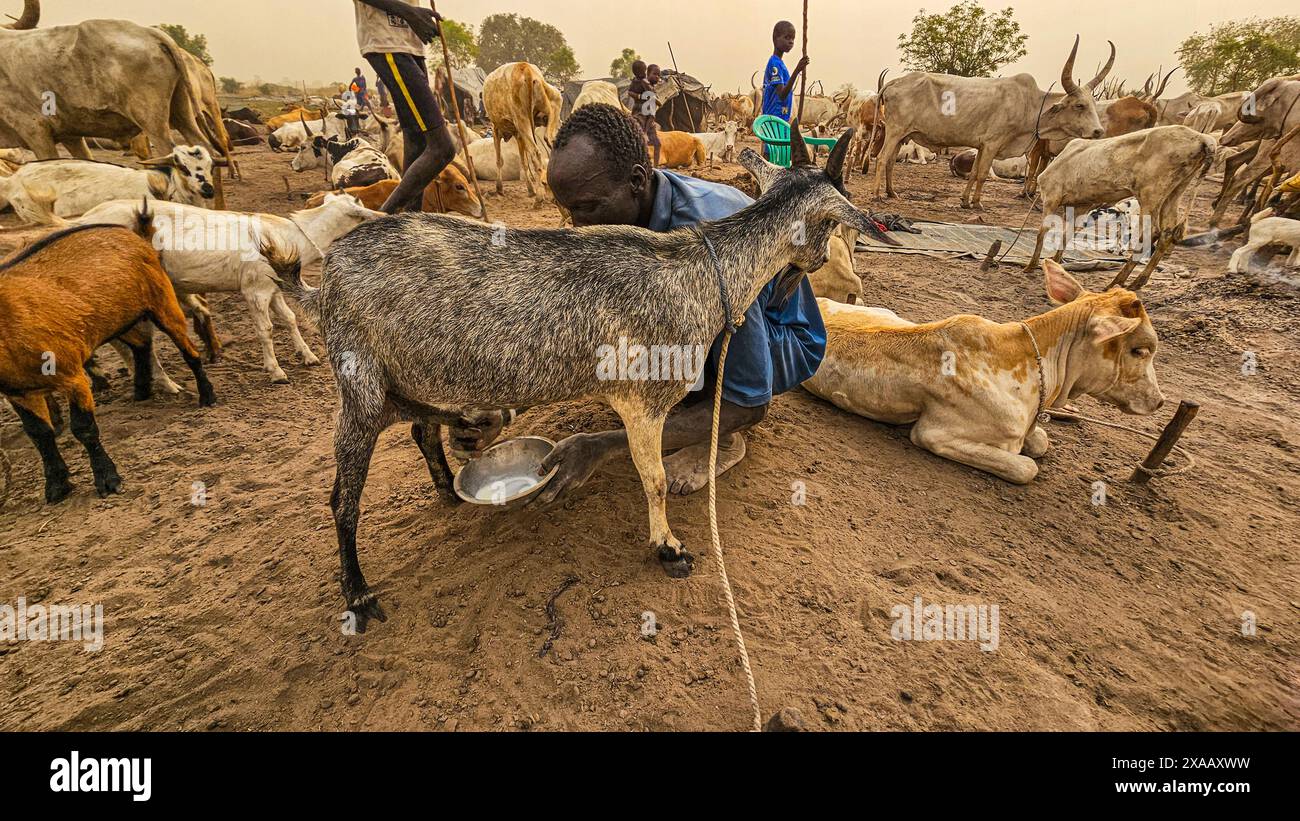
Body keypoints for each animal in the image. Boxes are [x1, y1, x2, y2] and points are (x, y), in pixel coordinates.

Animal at [0, 204, 216, 504]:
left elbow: (84, 428)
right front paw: (56, 486)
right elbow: (39, 434)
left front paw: (108, 479)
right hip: (119, 320)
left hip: (162, 302)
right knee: (141, 343)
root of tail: (137, 234)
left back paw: (207, 396)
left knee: (188, 349)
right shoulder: (18, 391)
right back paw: (141, 391)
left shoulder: (71, 376)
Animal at [262, 127, 896, 627]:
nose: (805, 278)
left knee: (421, 430)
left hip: (410, 380)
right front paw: (668, 548)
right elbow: (653, 479)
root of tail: (324, 281)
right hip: (359, 385)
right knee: (342, 498)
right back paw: (358, 596)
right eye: (838, 226)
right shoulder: (643, 399)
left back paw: (447, 488)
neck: (701, 267)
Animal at [483, 62, 562, 200]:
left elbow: (499, 160)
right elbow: (523, 161)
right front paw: (530, 189)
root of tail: (525, 69)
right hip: (555, 100)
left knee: (535, 152)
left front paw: (499, 188)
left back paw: (539, 196)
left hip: (521, 119)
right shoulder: (520, 133)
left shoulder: (496, 129)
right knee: (550, 140)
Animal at [875, 36, 1114, 209]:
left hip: (903, 136)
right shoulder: (992, 144)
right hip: (894, 131)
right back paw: (877, 195)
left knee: (891, 161)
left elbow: (974, 173)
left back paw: (891, 192)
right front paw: (977, 203)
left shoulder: (981, 146)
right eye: (1080, 105)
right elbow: (982, 175)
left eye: (1093, 104)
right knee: (881, 158)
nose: (1098, 131)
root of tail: (895, 82)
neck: (1029, 103)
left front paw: (965, 201)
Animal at [1025, 125, 1218, 289]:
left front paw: (1031, 266)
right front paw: (1055, 262)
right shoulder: (1081, 206)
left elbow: (1042, 232)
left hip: (1151, 194)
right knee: (1166, 233)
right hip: (1174, 193)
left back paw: (1116, 282)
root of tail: (1202, 138)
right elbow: (1066, 234)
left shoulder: (1051, 196)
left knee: (1150, 233)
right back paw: (1137, 282)